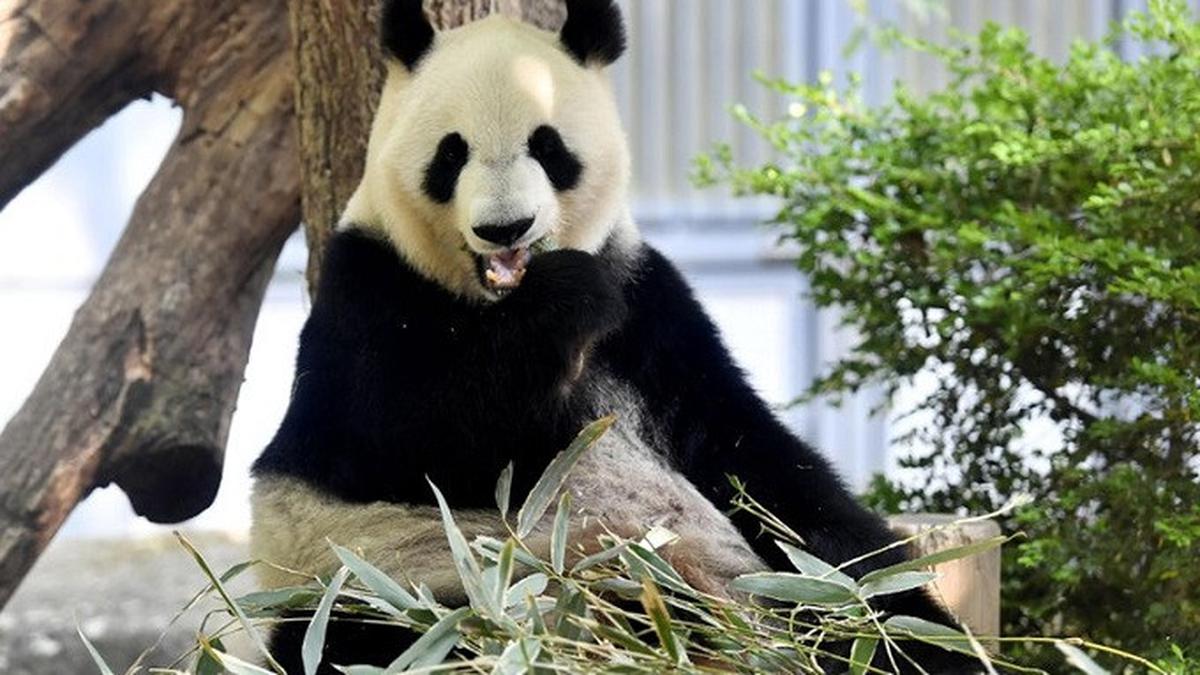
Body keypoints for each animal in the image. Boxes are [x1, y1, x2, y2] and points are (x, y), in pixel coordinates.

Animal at [249, 0, 975, 672]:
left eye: (548, 146)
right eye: (451, 153)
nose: (505, 227)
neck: (492, 301)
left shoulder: (648, 306)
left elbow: (755, 461)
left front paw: (906, 613)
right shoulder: (367, 284)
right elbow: (401, 435)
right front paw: (564, 298)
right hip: (403, 581)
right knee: (371, 637)